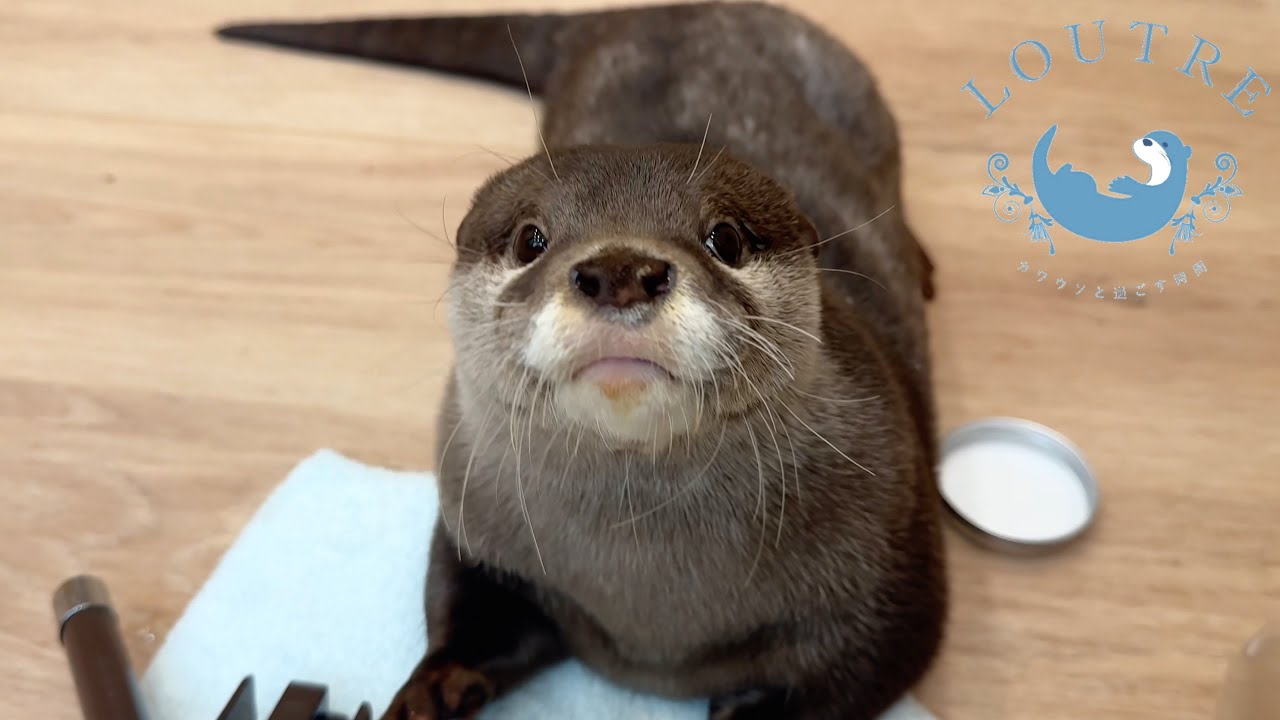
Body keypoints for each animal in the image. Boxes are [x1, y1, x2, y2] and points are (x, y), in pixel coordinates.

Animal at [217, 3, 946, 719]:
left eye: (726, 238)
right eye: (530, 239)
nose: (620, 269)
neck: (652, 610)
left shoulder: (890, 577)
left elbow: (851, 677)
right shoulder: (473, 515)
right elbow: (467, 605)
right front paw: (432, 689)